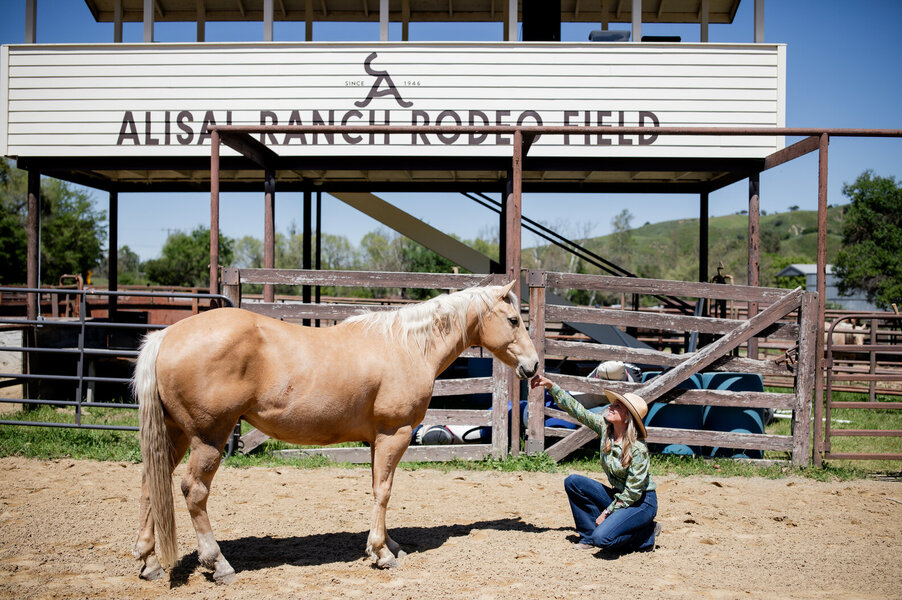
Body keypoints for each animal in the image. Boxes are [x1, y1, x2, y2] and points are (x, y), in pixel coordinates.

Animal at [131, 281, 538, 584]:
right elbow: (384, 491)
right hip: (208, 438)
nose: (534, 367)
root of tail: (166, 337)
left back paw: (149, 561)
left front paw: (388, 544)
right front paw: (381, 553)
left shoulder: (377, 438)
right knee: (193, 491)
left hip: (174, 434)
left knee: (152, 481)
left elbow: (377, 489)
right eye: (513, 320)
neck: (407, 347)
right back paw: (218, 564)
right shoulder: (395, 433)